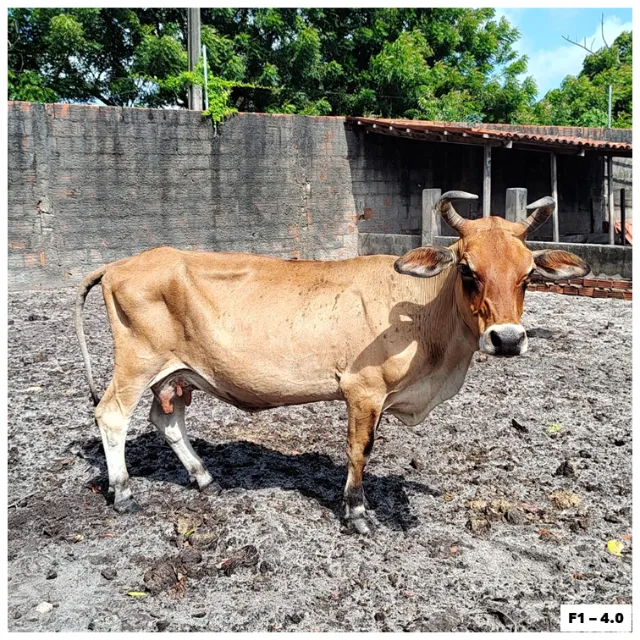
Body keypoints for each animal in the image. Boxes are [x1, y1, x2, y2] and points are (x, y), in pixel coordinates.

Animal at [75, 192, 589, 535]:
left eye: (528, 275)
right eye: (467, 270)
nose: (507, 339)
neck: (424, 316)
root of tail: (120, 265)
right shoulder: (362, 390)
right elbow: (359, 451)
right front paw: (358, 513)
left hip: (178, 374)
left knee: (167, 421)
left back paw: (204, 478)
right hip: (137, 363)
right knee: (112, 415)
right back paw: (124, 493)